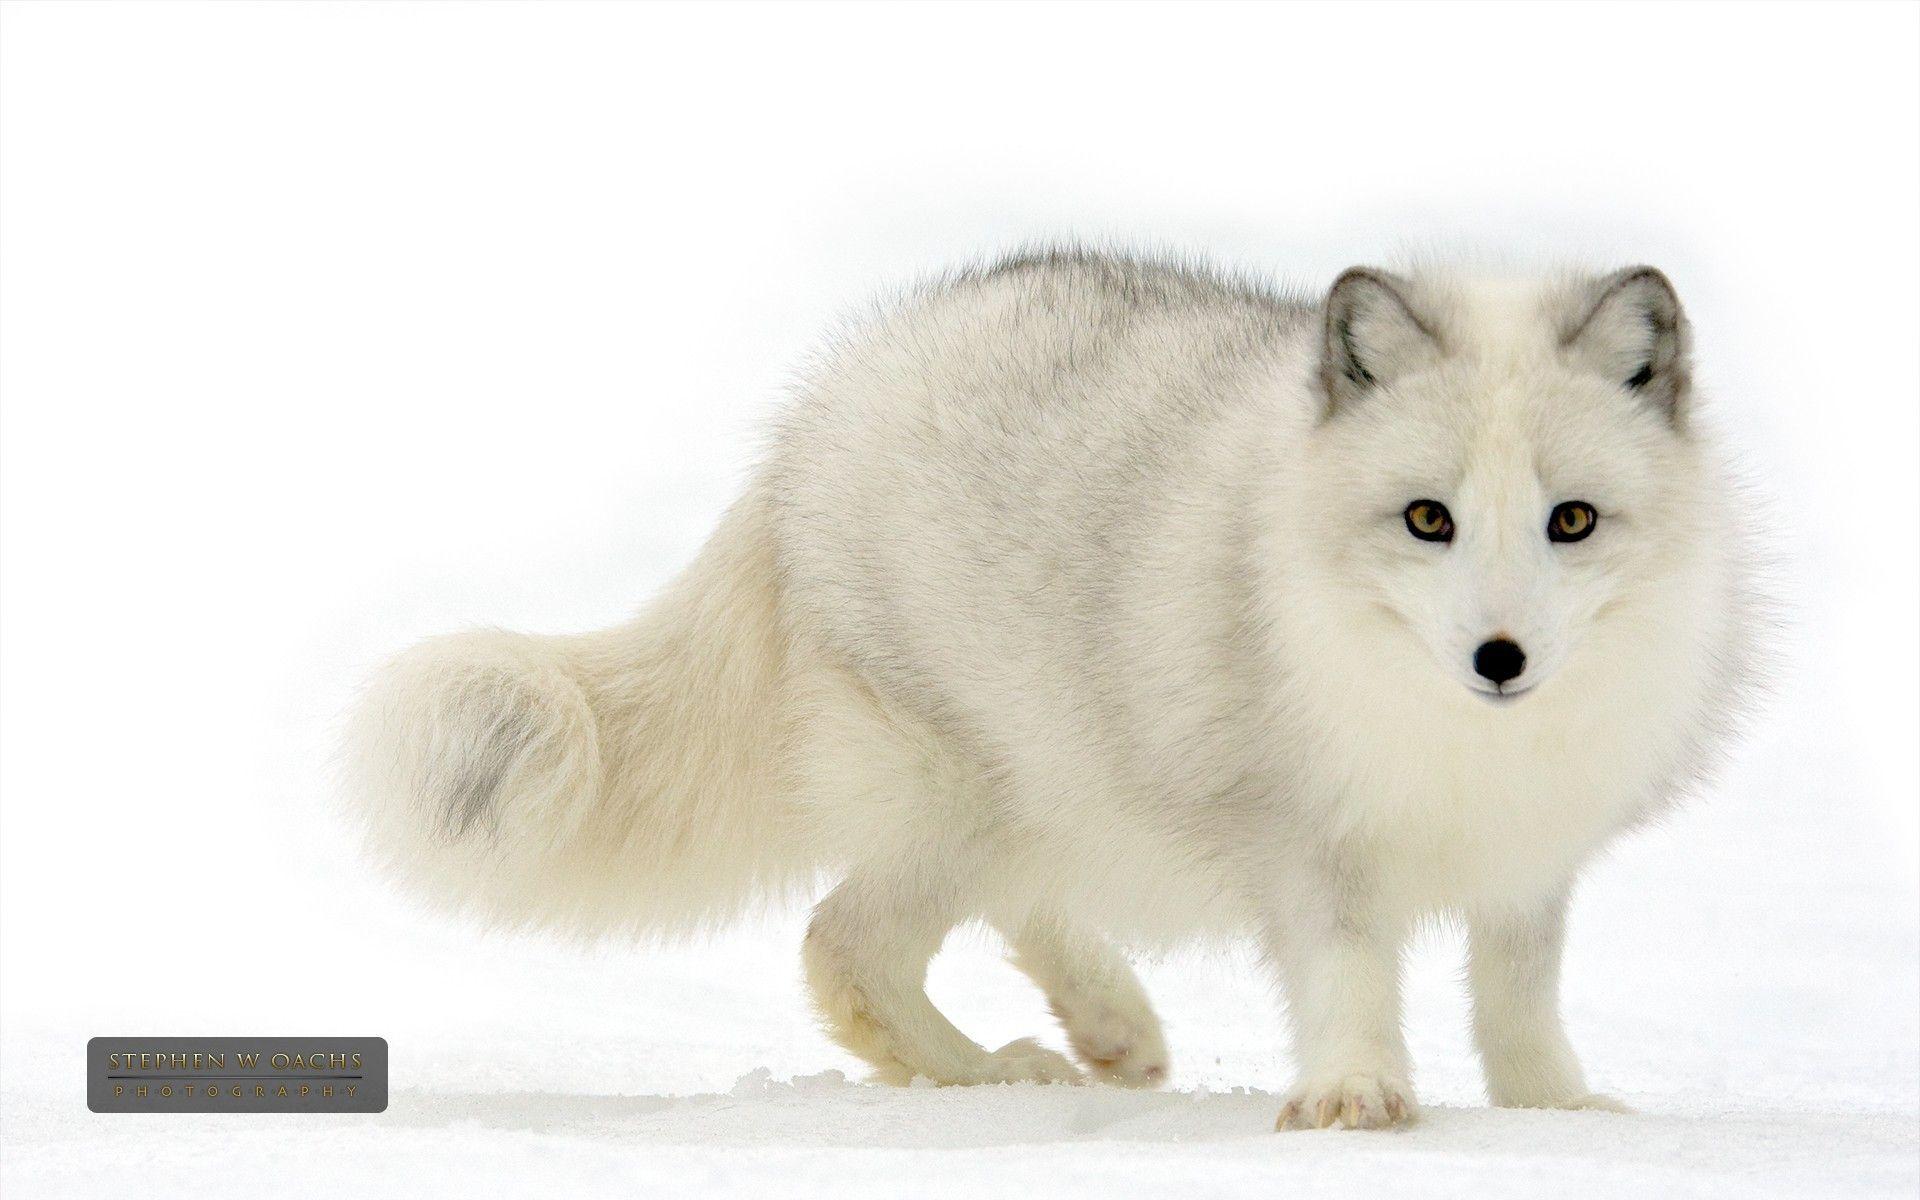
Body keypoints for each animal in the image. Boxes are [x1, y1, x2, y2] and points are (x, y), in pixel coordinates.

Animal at [344, 250, 1758, 1129]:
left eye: (1572, 519)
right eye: (1428, 518)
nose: (1499, 659)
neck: (1454, 737)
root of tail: (812, 415)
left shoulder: (1531, 856)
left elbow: (1520, 997)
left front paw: (1557, 1113)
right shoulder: (1304, 837)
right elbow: (1352, 973)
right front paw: (1358, 1100)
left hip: (1043, 787)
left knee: (1007, 907)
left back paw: (1110, 1028)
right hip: (965, 791)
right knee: (841, 948)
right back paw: (993, 1078)